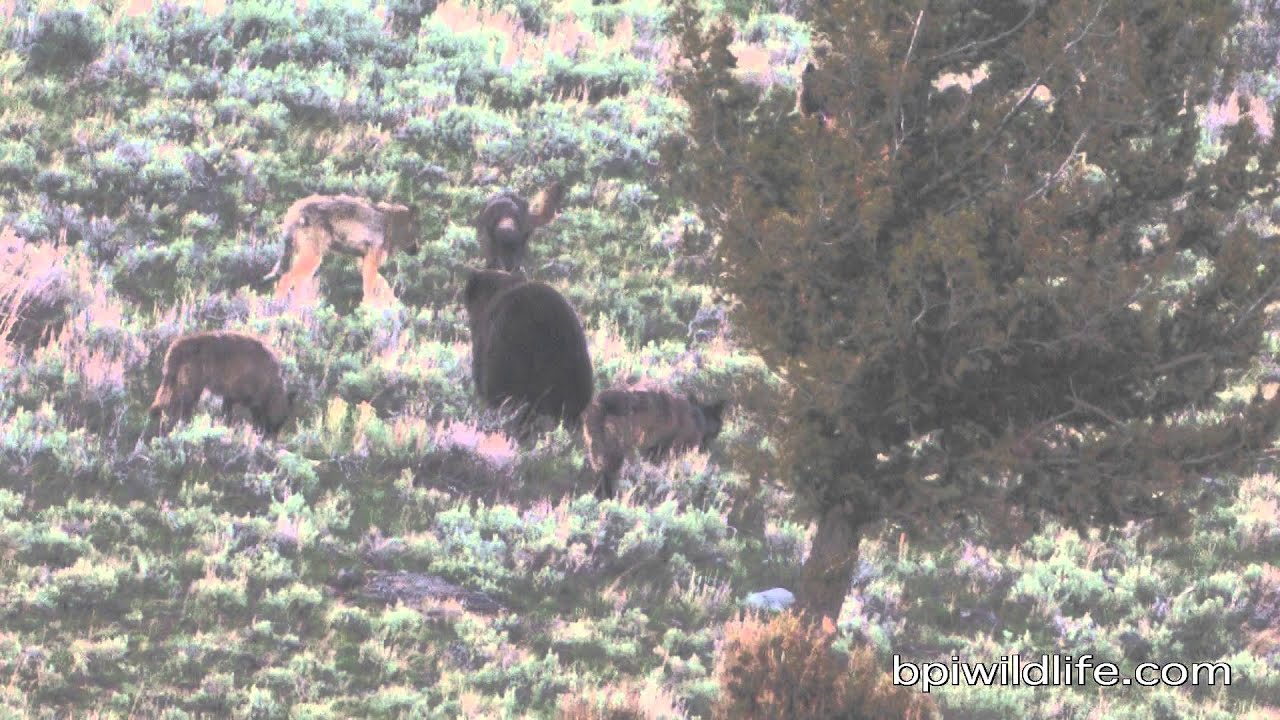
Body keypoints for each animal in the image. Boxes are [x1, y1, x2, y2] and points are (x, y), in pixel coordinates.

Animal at [146, 331, 296, 438]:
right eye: (283, 419)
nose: (273, 438)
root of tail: (179, 344)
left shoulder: (229, 397)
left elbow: (226, 416)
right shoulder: (253, 403)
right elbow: (250, 421)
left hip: (178, 386)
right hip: (190, 389)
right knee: (182, 410)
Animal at [263, 194, 418, 305]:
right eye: (416, 235)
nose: (416, 251)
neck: (391, 224)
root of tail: (294, 209)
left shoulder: (363, 262)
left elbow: (383, 285)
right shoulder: (370, 263)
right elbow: (370, 289)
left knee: (290, 280)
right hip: (313, 259)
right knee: (288, 279)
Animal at [582, 389, 727, 499]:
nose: (706, 449)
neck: (699, 417)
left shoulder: (654, 451)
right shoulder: (672, 452)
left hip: (598, 451)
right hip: (614, 452)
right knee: (607, 476)